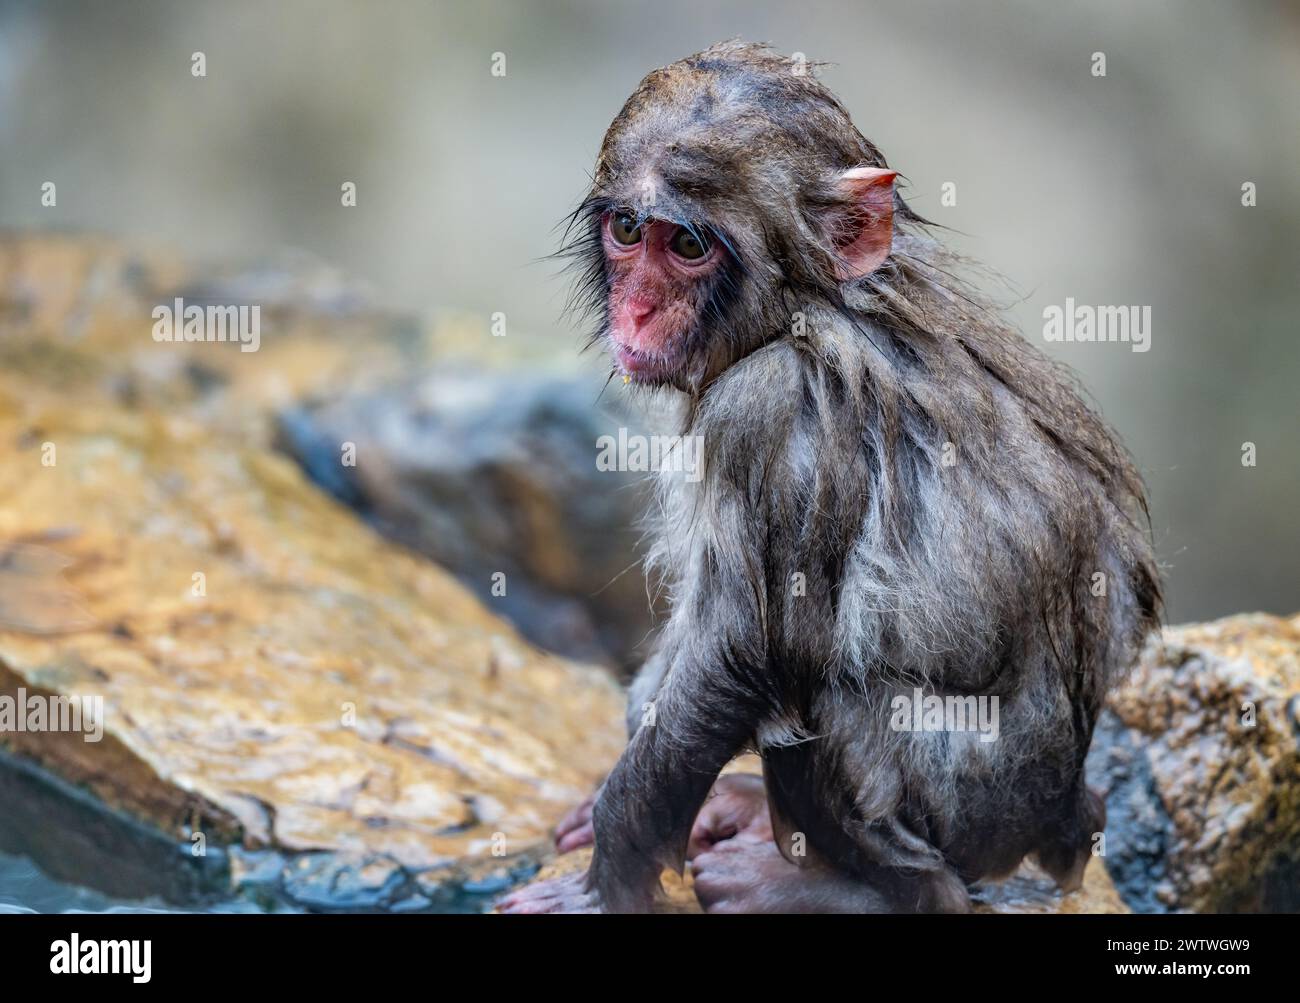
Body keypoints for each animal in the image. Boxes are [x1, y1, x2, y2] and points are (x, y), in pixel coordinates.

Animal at [499, 40, 1160, 914]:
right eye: (629, 229)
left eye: (687, 247)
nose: (637, 310)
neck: (800, 310)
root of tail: (1064, 824)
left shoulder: (769, 414)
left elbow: (735, 655)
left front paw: (606, 880)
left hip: (972, 817)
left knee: (834, 698)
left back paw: (844, 887)